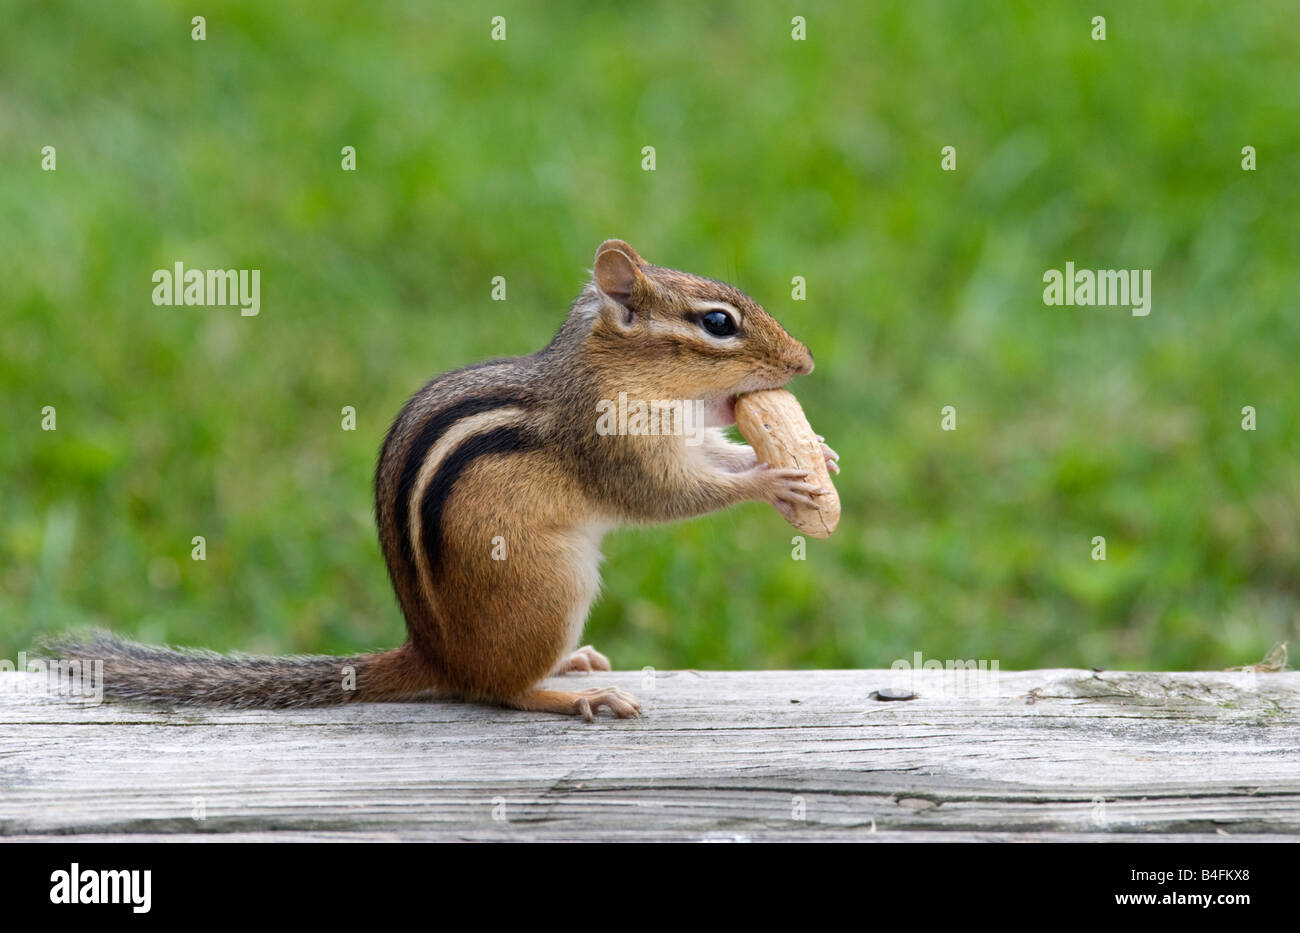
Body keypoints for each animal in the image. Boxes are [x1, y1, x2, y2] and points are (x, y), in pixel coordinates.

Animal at [43, 240, 837, 720]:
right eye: (718, 323)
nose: (804, 362)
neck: (609, 376)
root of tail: (433, 651)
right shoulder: (611, 445)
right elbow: (667, 497)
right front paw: (775, 477)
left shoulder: (684, 434)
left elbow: (713, 456)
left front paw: (815, 455)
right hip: (551, 584)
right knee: (502, 689)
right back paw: (571, 694)